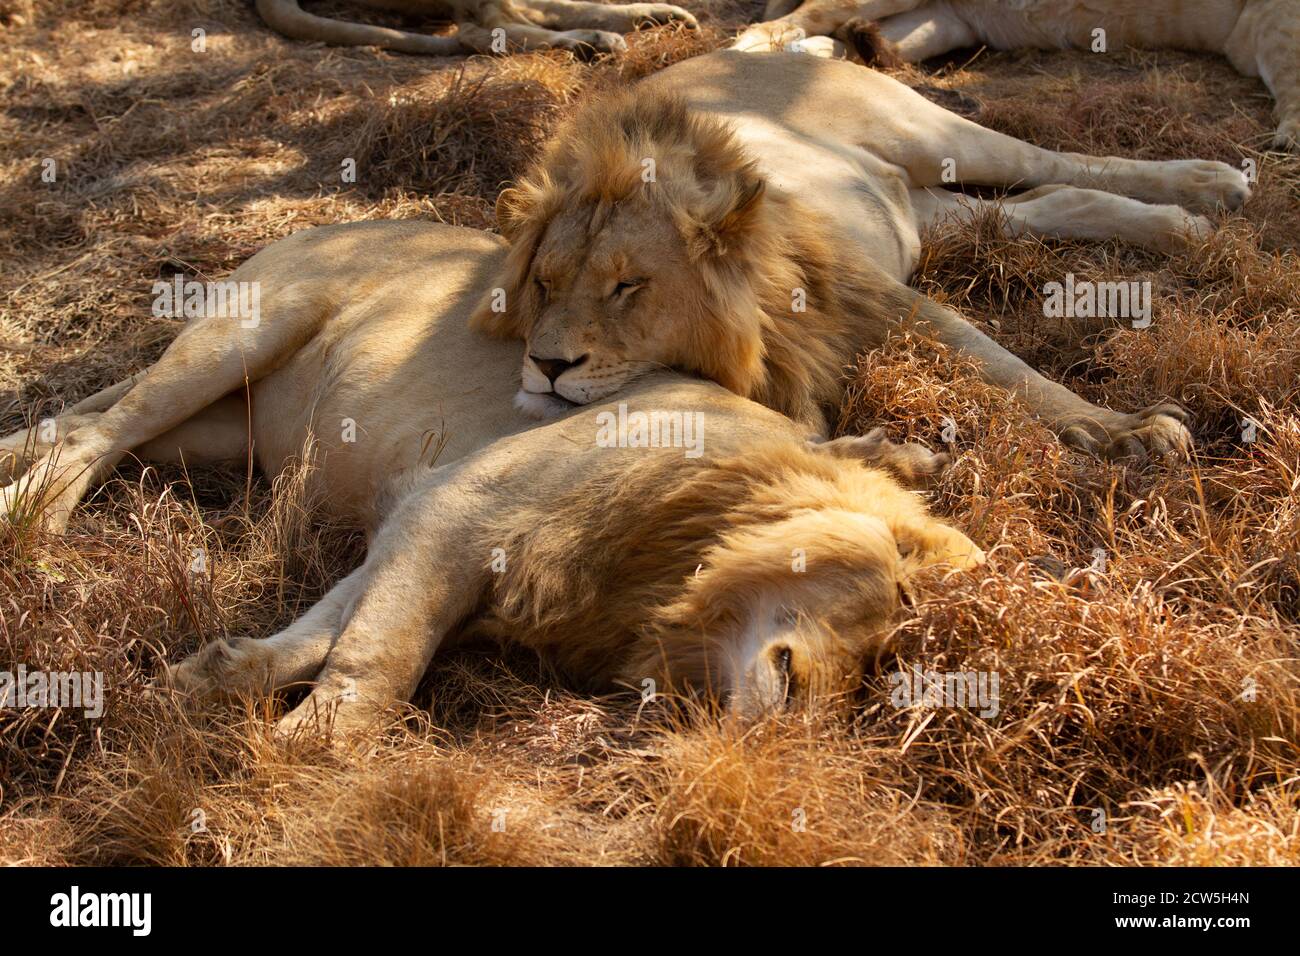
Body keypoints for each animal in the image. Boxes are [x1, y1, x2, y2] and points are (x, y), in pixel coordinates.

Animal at [0, 220, 979, 733]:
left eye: (881, 665)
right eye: (879, 607)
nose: (808, 718)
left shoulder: (426, 524)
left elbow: (328, 628)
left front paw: (207, 677)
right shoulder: (458, 512)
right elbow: (378, 661)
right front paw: (316, 754)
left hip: (216, 434)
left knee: (89, 427)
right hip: (245, 333)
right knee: (98, 433)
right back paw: (34, 529)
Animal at [469, 49, 1250, 454]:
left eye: (627, 286)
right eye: (543, 284)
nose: (547, 366)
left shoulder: (882, 293)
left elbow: (1004, 366)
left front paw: (1124, 429)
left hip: (935, 137)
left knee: (1059, 162)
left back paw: (1209, 185)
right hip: (919, 211)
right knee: (1050, 201)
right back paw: (1183, 226)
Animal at [732, 0, 1299, 150]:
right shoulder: (1275, 19)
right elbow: (1293, 78)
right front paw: (1292, 138)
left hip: (942, 20)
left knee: (860, 41)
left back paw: (815, 55)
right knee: (803, 13)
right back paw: (752, 45)